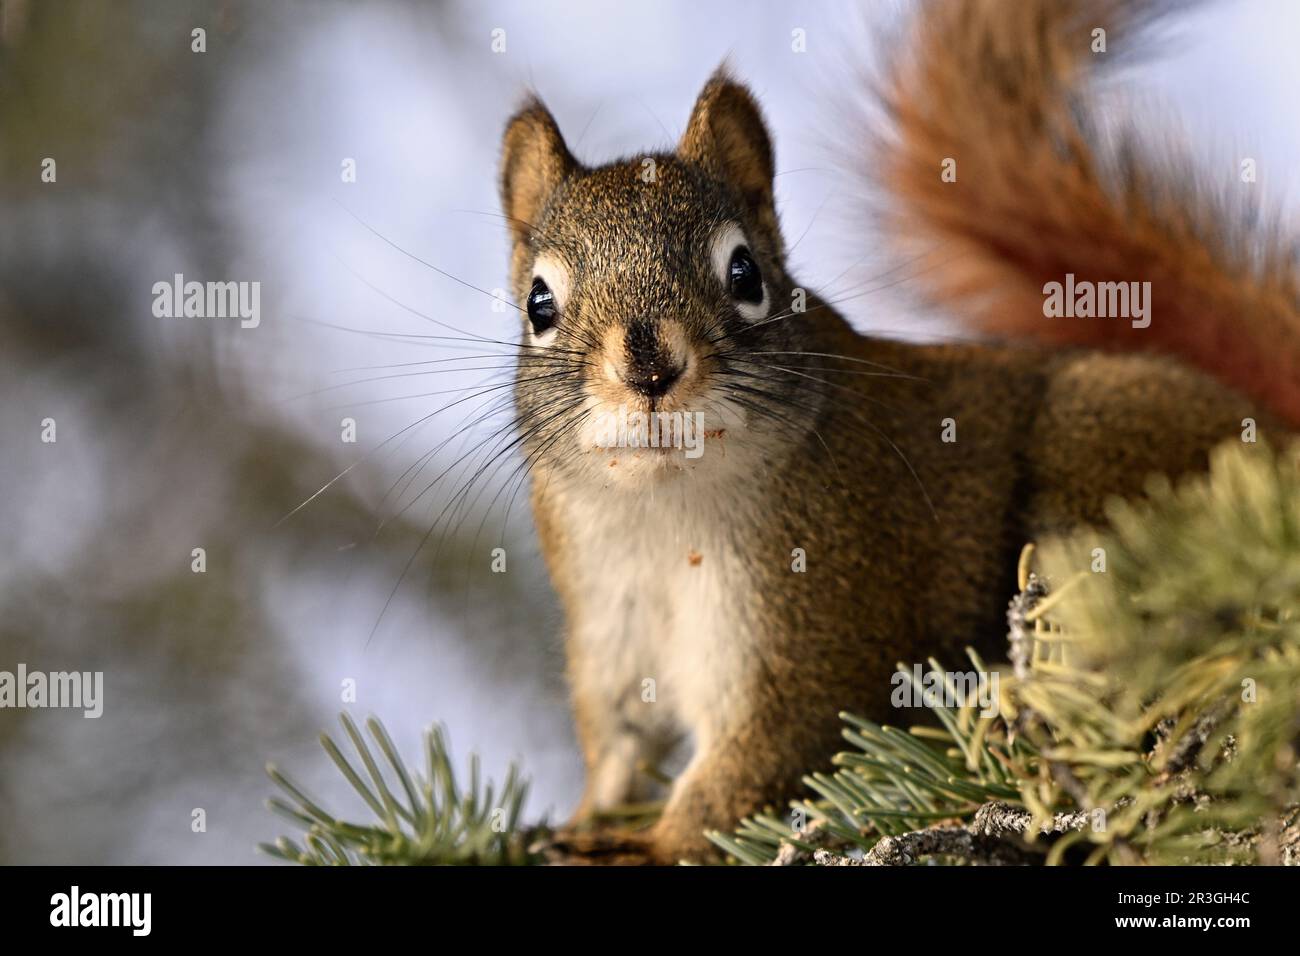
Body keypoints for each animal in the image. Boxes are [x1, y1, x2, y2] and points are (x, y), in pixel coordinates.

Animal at [496, 0, 1299, 863]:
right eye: (539, 303)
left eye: (746, 275)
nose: (649, 370)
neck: (665, 507)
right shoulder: (607, 625)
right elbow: (617, 748)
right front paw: (579, 822)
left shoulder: (818, 622)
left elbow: (754, 767)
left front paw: (649, 843)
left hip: (1101, 456)